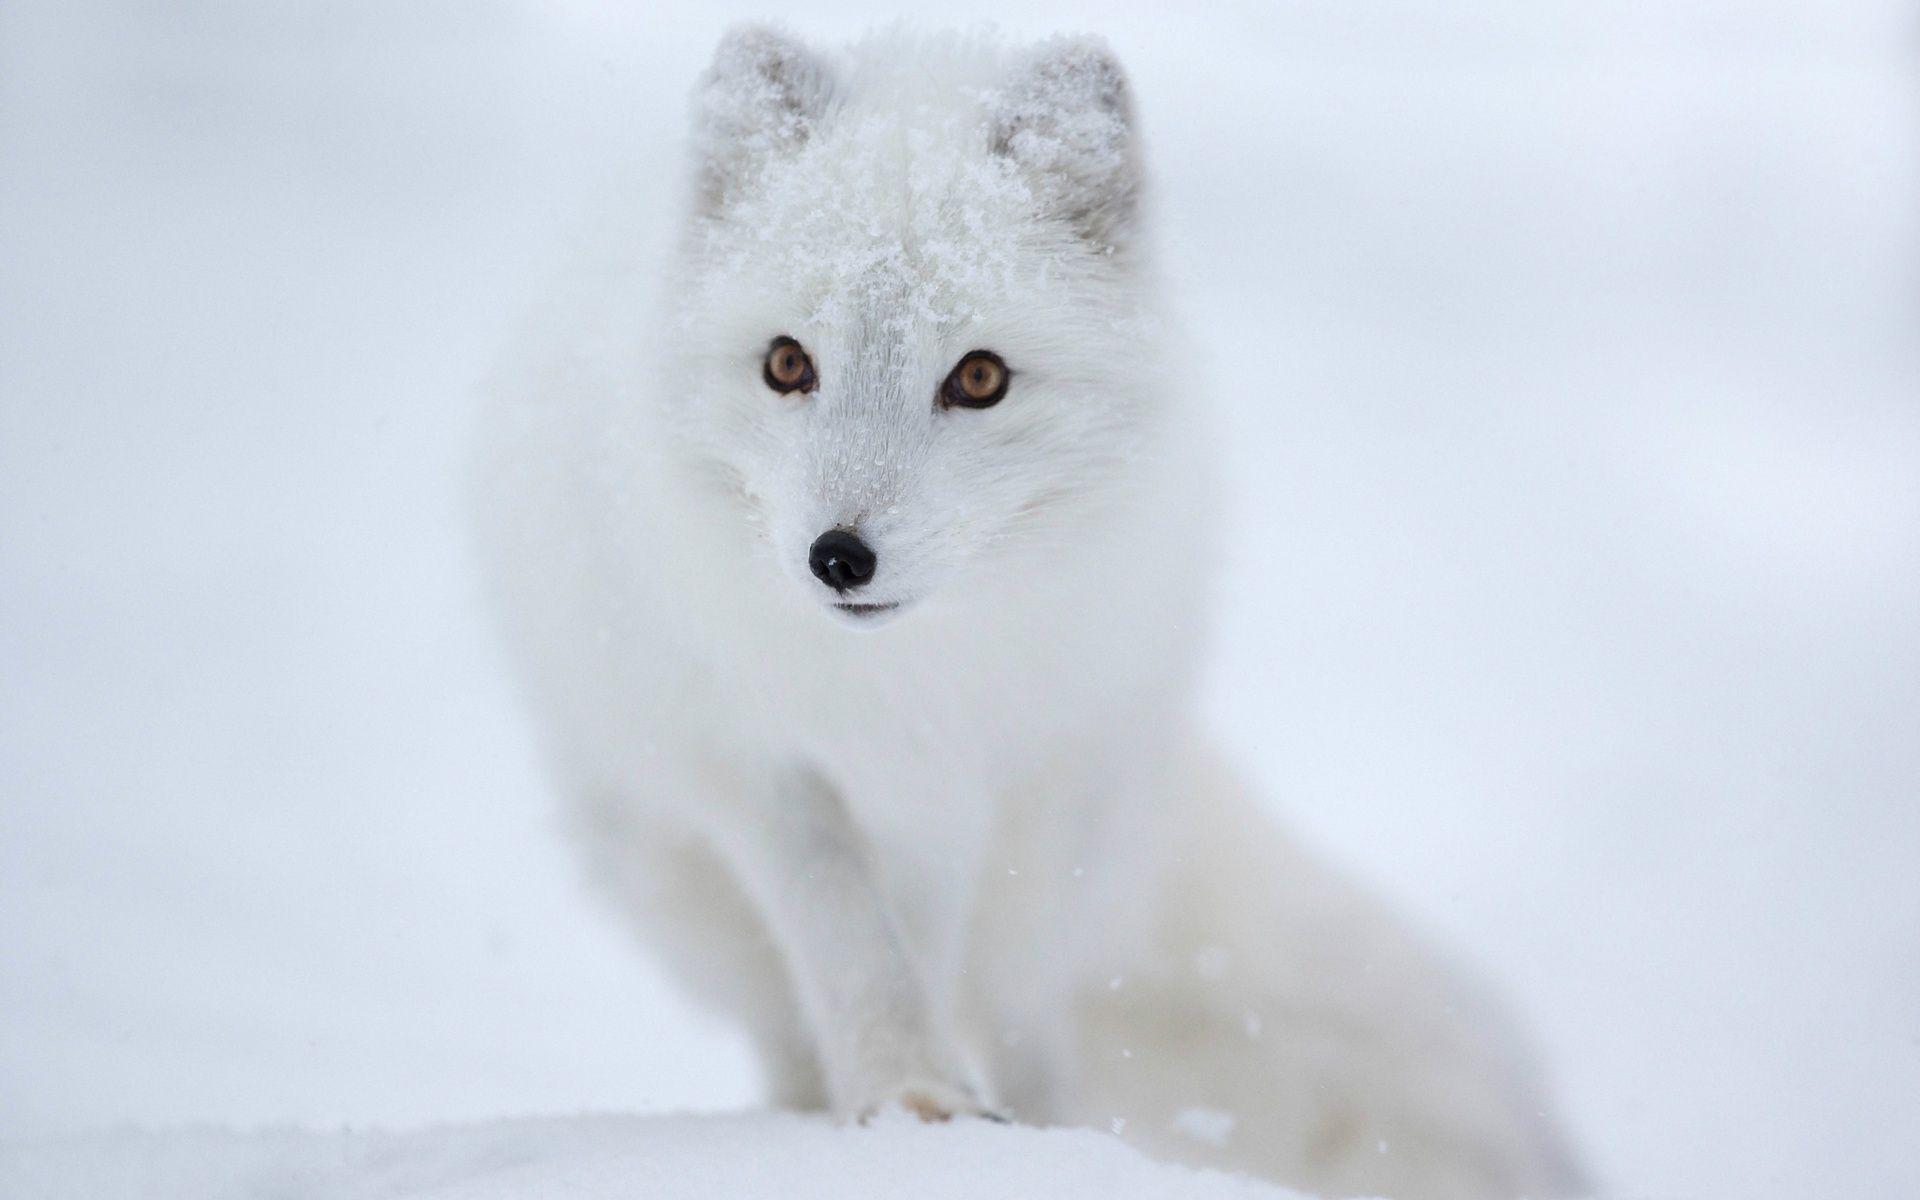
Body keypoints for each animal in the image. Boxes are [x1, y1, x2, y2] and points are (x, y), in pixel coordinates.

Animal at [476, 25, 1585, 1200]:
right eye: (786, 363)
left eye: (978, 377)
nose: (838, 558)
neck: (908, 686)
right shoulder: (757, 769)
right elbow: (854, 947)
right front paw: (906, 1099)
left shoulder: (1019, 782)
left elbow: (984, 985)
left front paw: (1011, 1134)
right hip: (660, 863)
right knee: (788, 1018)